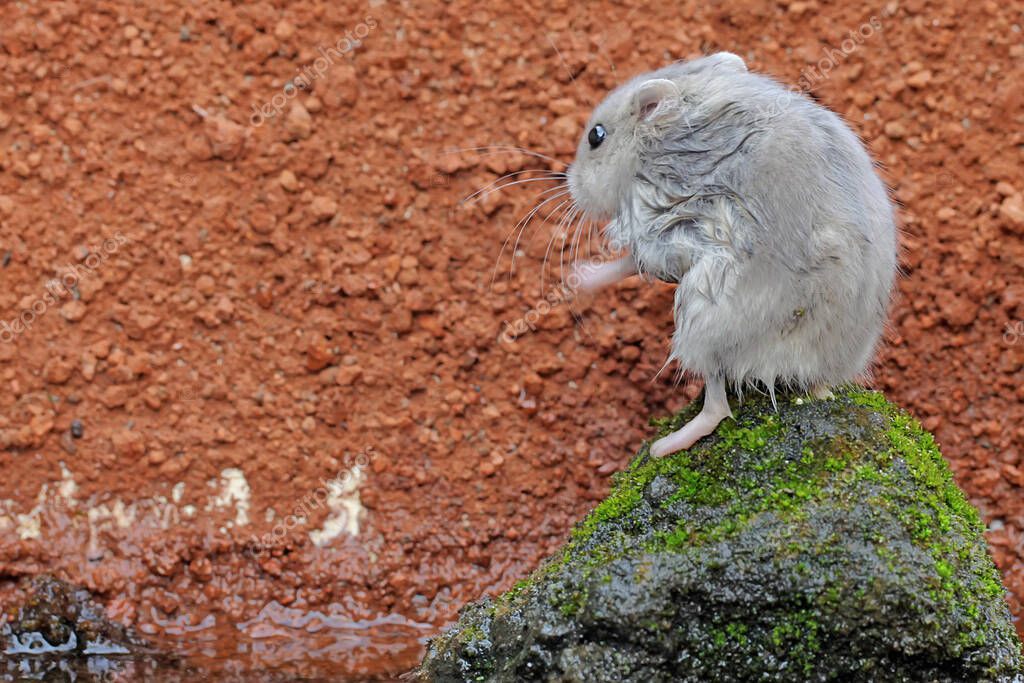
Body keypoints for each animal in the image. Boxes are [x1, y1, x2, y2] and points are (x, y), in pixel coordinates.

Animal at [567, 52, 898, 457]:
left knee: (717, 402)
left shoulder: (657, 219)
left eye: (595, 136)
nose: (570, 186)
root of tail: (824, 367)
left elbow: (635, 261)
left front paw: (578, 278)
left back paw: (667, 445)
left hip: (705, 317)